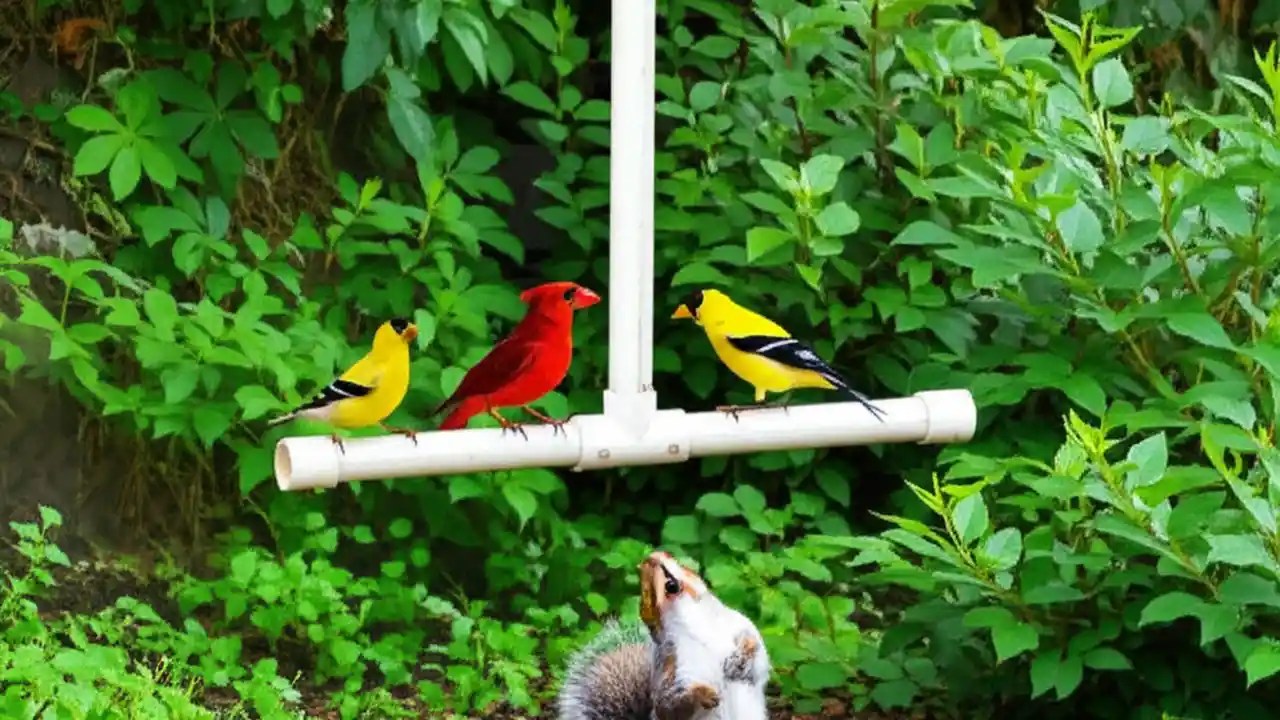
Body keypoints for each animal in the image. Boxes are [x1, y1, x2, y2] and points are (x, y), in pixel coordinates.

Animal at [556, 550, 771, 720]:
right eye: (670, 586)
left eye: (681, 564)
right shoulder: (671, 662)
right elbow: (666, 705)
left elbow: (758, 658)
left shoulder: (739, 625)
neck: (698, 627)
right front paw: (701, 694)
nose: (652, 555)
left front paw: (742, 654)